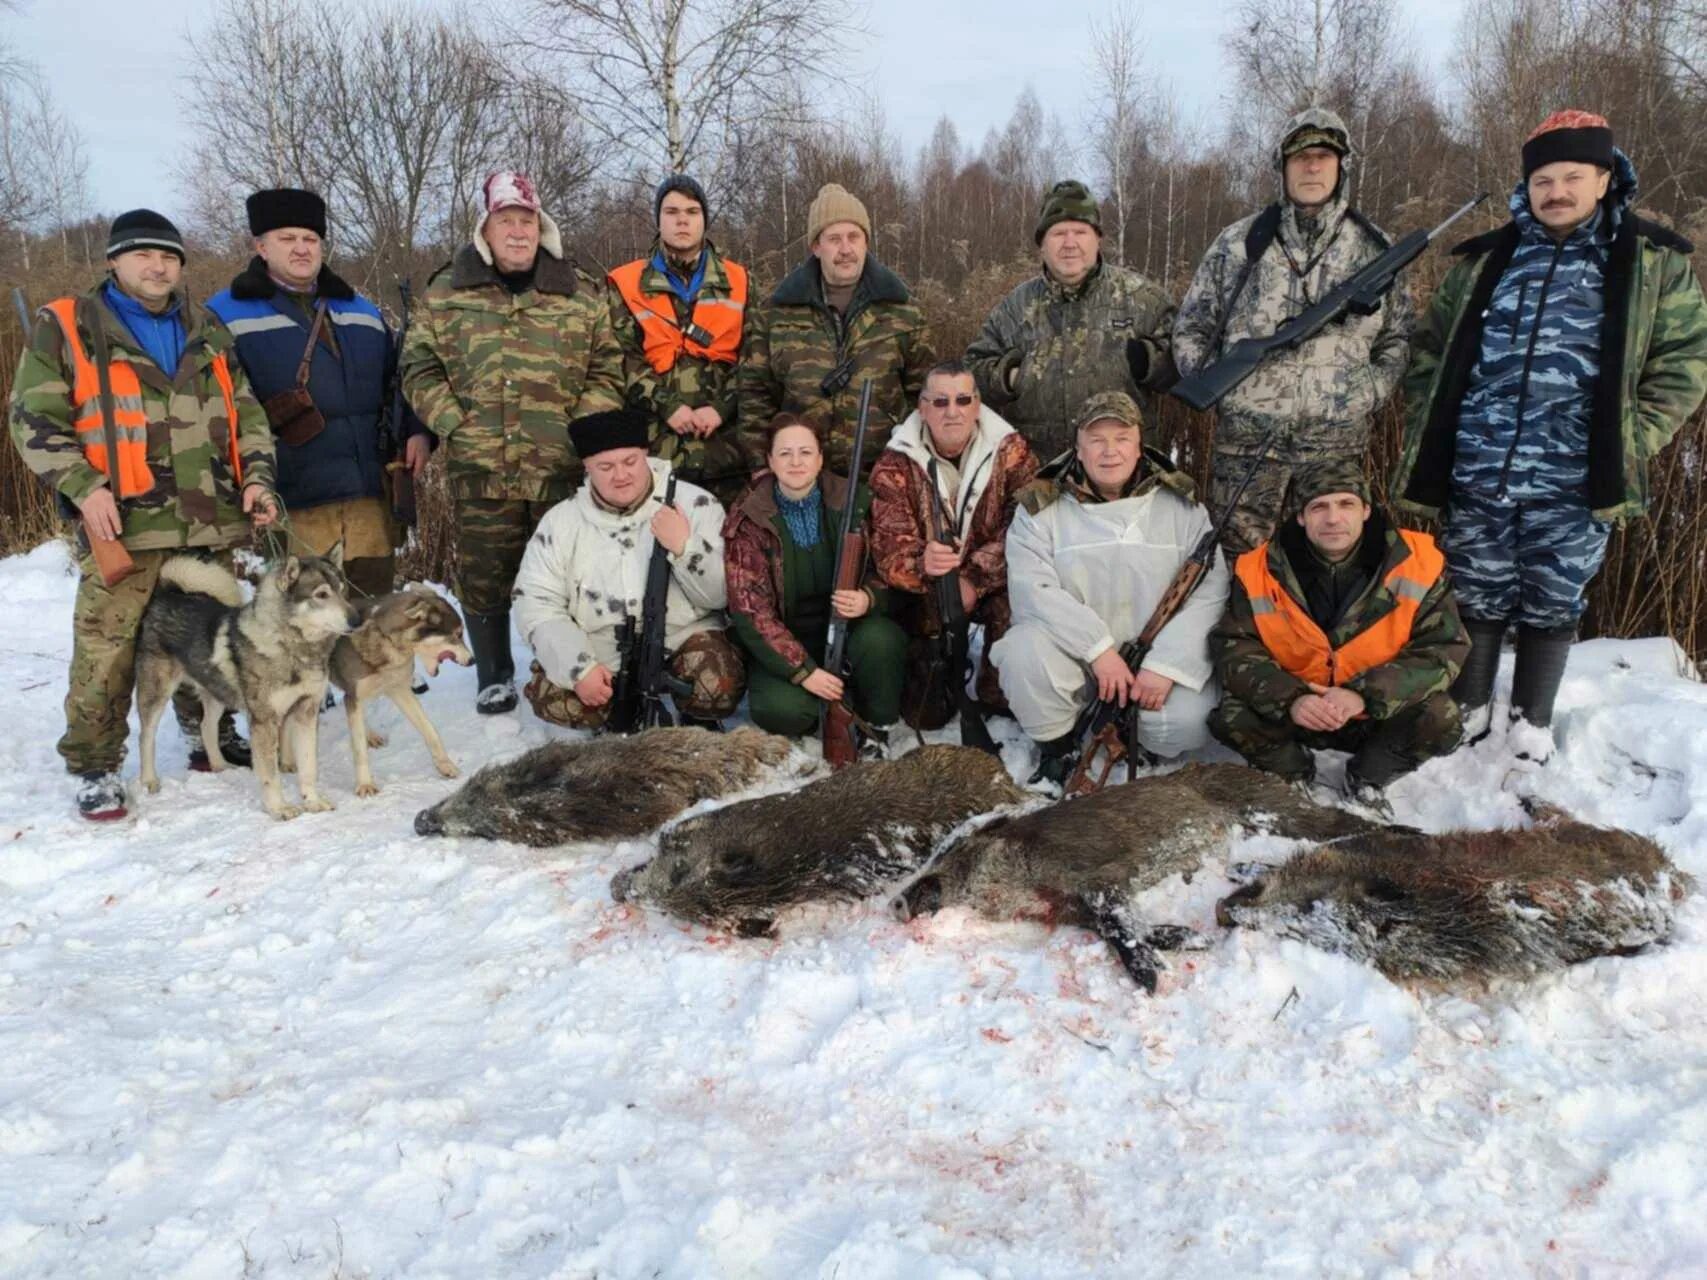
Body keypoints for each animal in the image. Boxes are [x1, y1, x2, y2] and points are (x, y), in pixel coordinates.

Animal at [140, 552, 363, 822]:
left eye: (341, 589)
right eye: (321, 594)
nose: (358, 620)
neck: (291, 648)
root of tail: (168, 592)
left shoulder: (306, 712)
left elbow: (309, 766)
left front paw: (313, 801)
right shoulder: (264, 721)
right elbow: (270, 775)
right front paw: (279, 808)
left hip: (217, 692)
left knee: (205, 726)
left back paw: (219, 765)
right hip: (156, 694)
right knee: (146, 737)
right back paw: (149, 781)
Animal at [329, 587, 474, 798]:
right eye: (458, 634)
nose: (473, 661)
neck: (386, 639)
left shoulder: (399, 691)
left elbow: (430, 730)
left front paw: (445, 765)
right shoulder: (353, 695)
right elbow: (359, 750)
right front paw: (365, 784)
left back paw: (371, 735)